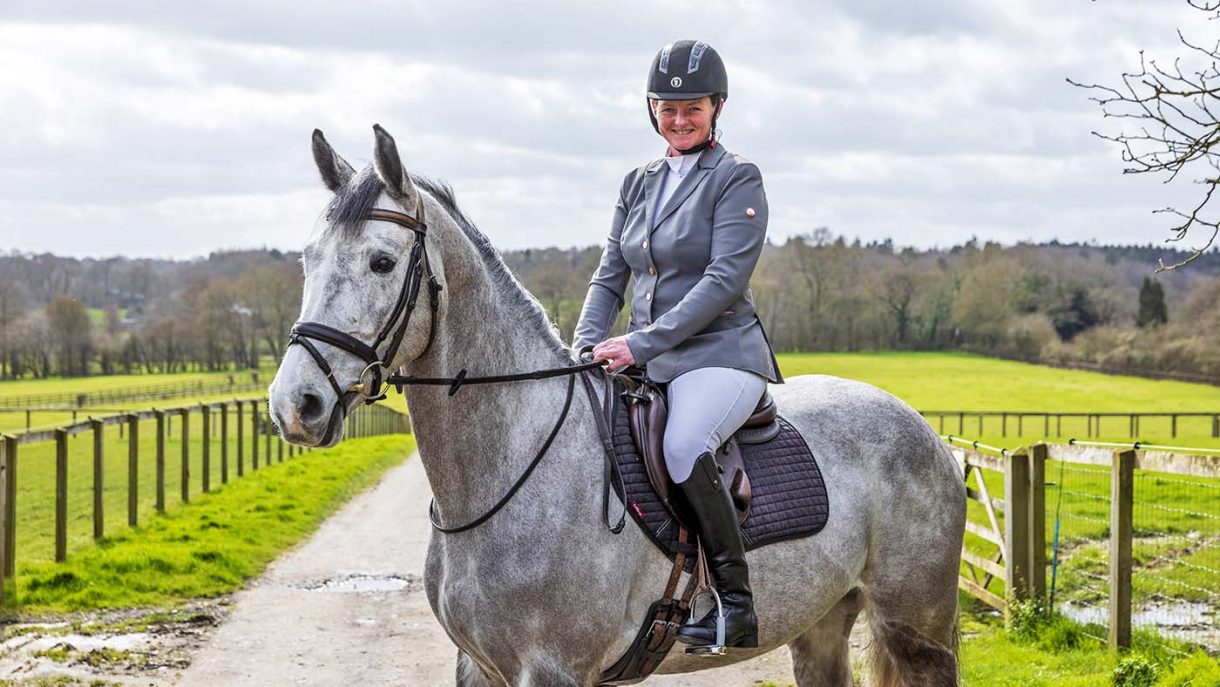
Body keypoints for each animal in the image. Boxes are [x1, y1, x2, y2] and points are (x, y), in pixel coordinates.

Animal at [268, 125, 966, 687]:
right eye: (306, 259)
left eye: (382, 262)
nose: (294, 406)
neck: (509, 467)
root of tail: (926, 432)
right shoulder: (477, 665)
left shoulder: (552, 669)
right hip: (822, 623)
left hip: (916, 626)